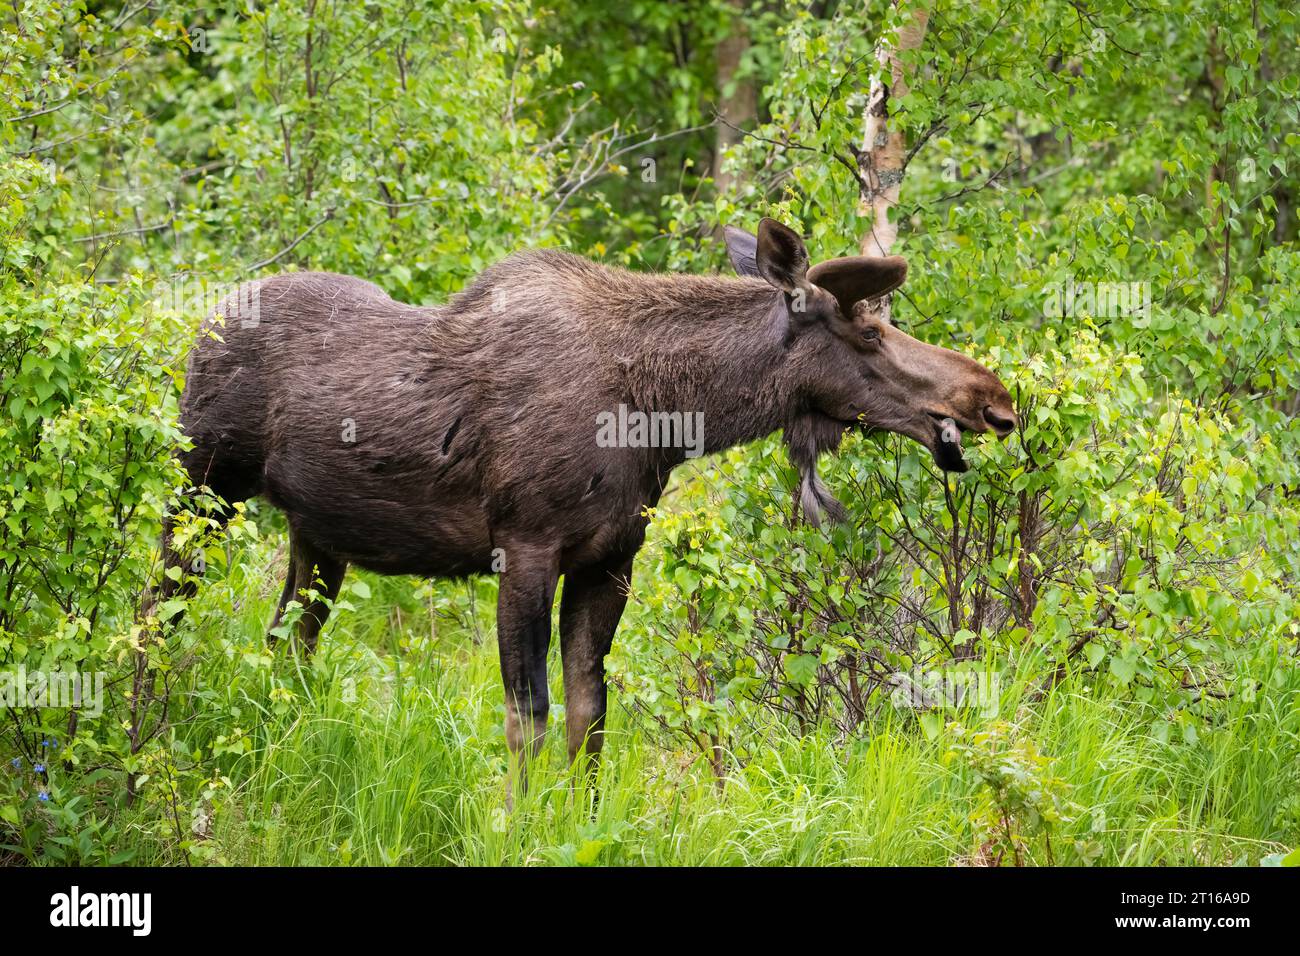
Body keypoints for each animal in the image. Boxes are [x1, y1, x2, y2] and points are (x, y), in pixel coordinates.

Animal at [160, 218, 1017, 794]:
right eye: (868, 332)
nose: (995, 400)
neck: (666, 414)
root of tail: (207, 320)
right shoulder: (525, 546)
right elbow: (528, 715)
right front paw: (518, 823)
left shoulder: (611, 558)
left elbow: (589, 713)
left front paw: (584, 815)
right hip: (202, 483)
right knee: (162, 607)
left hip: (316, 536)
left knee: (286, 646)